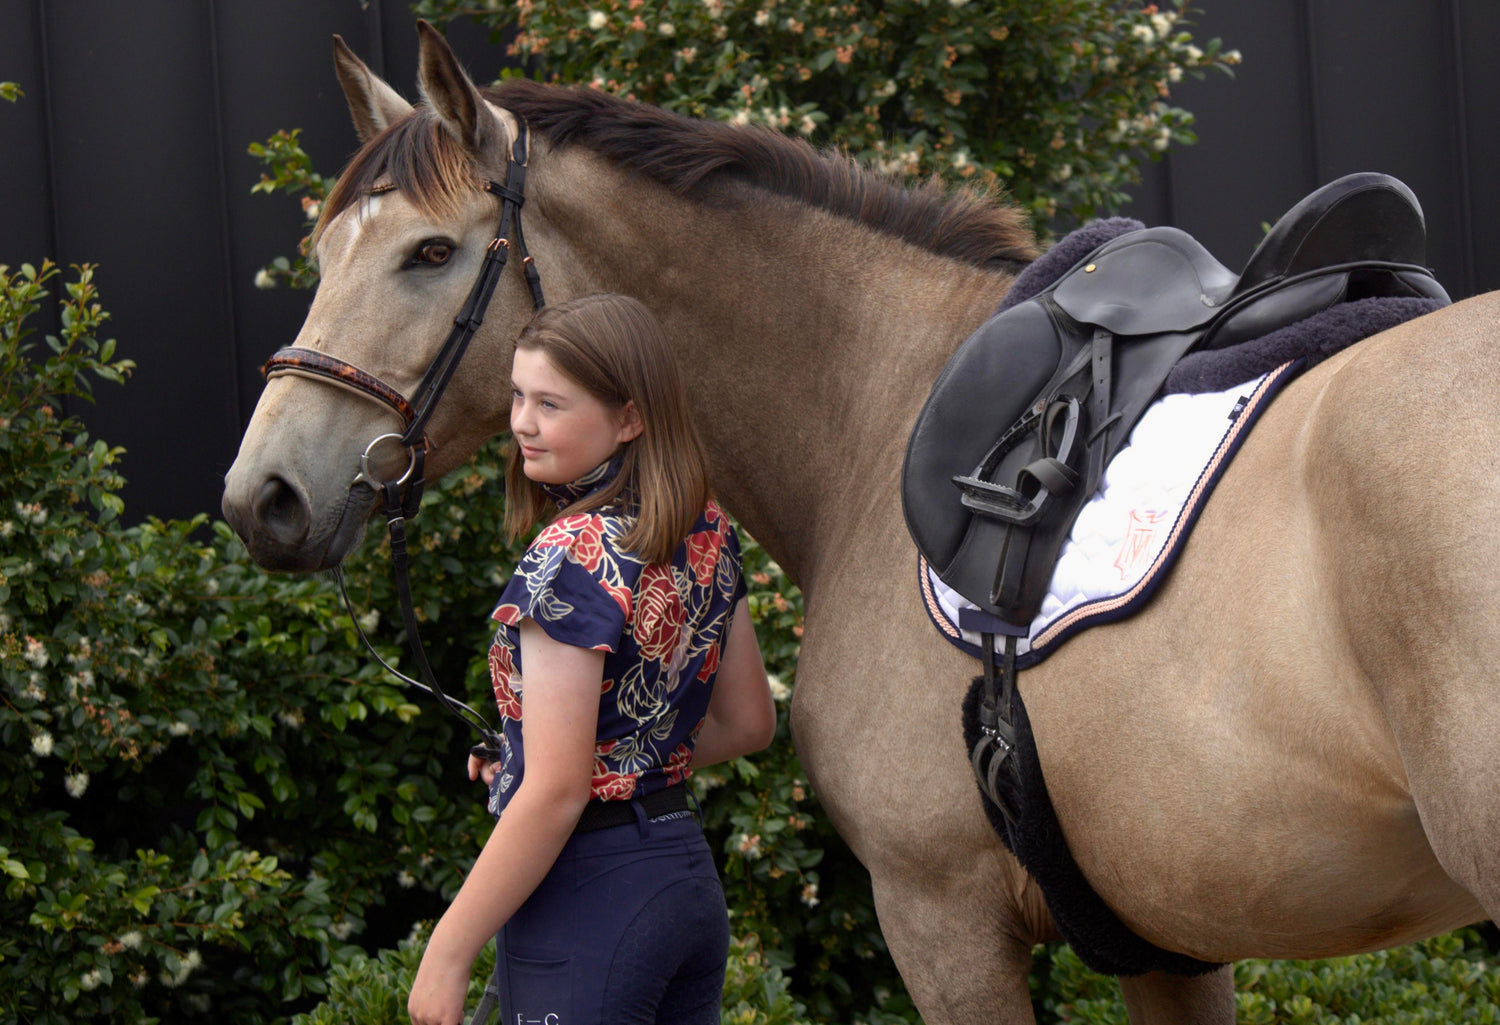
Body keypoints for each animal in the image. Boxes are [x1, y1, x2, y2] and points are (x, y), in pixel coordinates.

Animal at [221, 23, 1500, 1024]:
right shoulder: (1173, 939)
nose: (262, 494)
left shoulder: (942, 918)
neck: (878, 405)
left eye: (430, 252)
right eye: (325, 249)